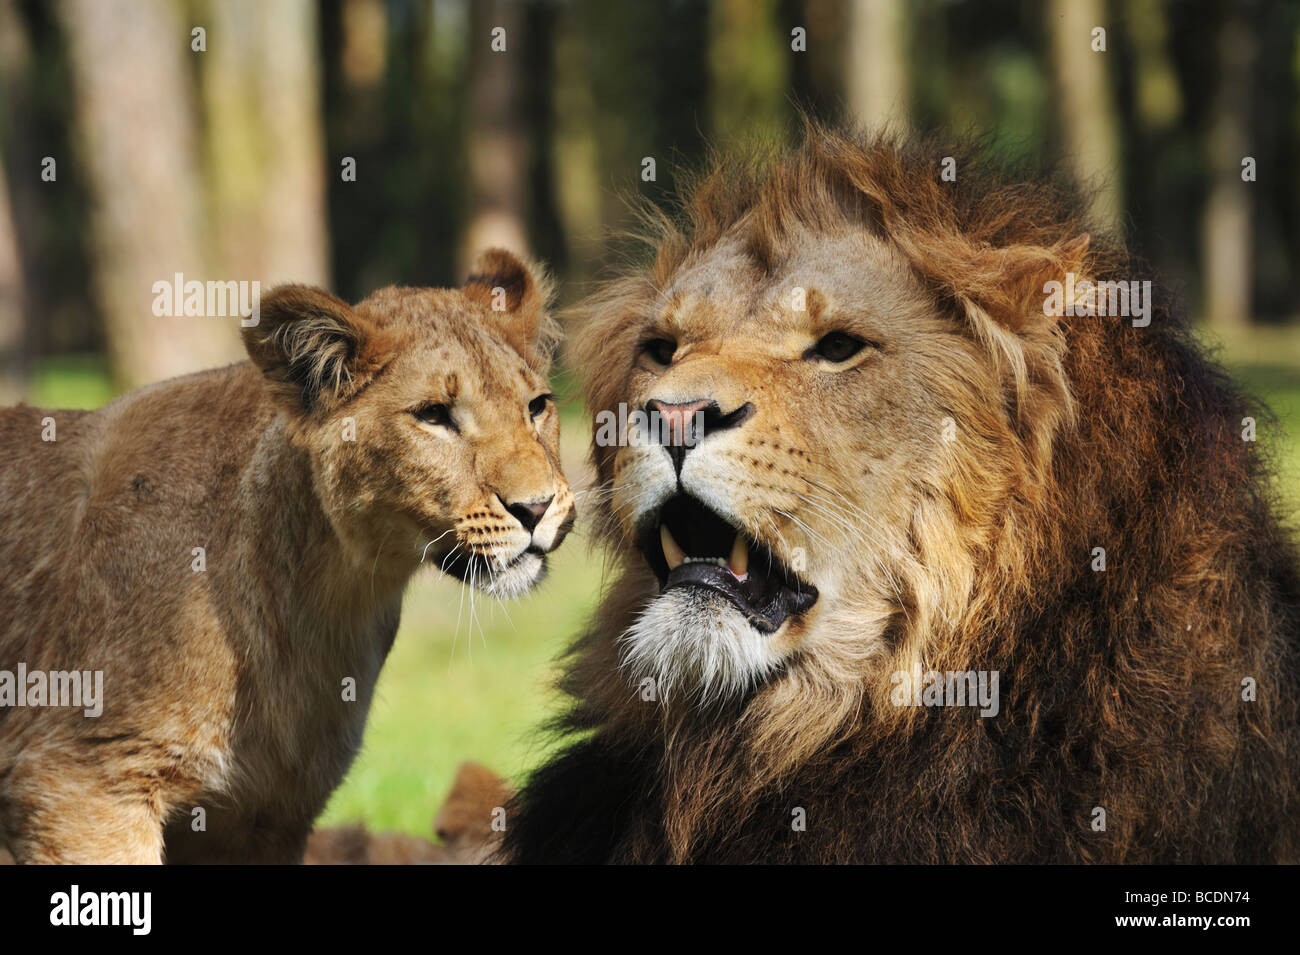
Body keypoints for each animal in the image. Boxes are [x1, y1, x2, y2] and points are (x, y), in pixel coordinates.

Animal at [0, 249, 574, 863]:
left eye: (537, 407)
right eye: (434, 415)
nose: (537, 508)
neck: (327, 597)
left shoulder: (264, 816)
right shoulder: (80, 779)